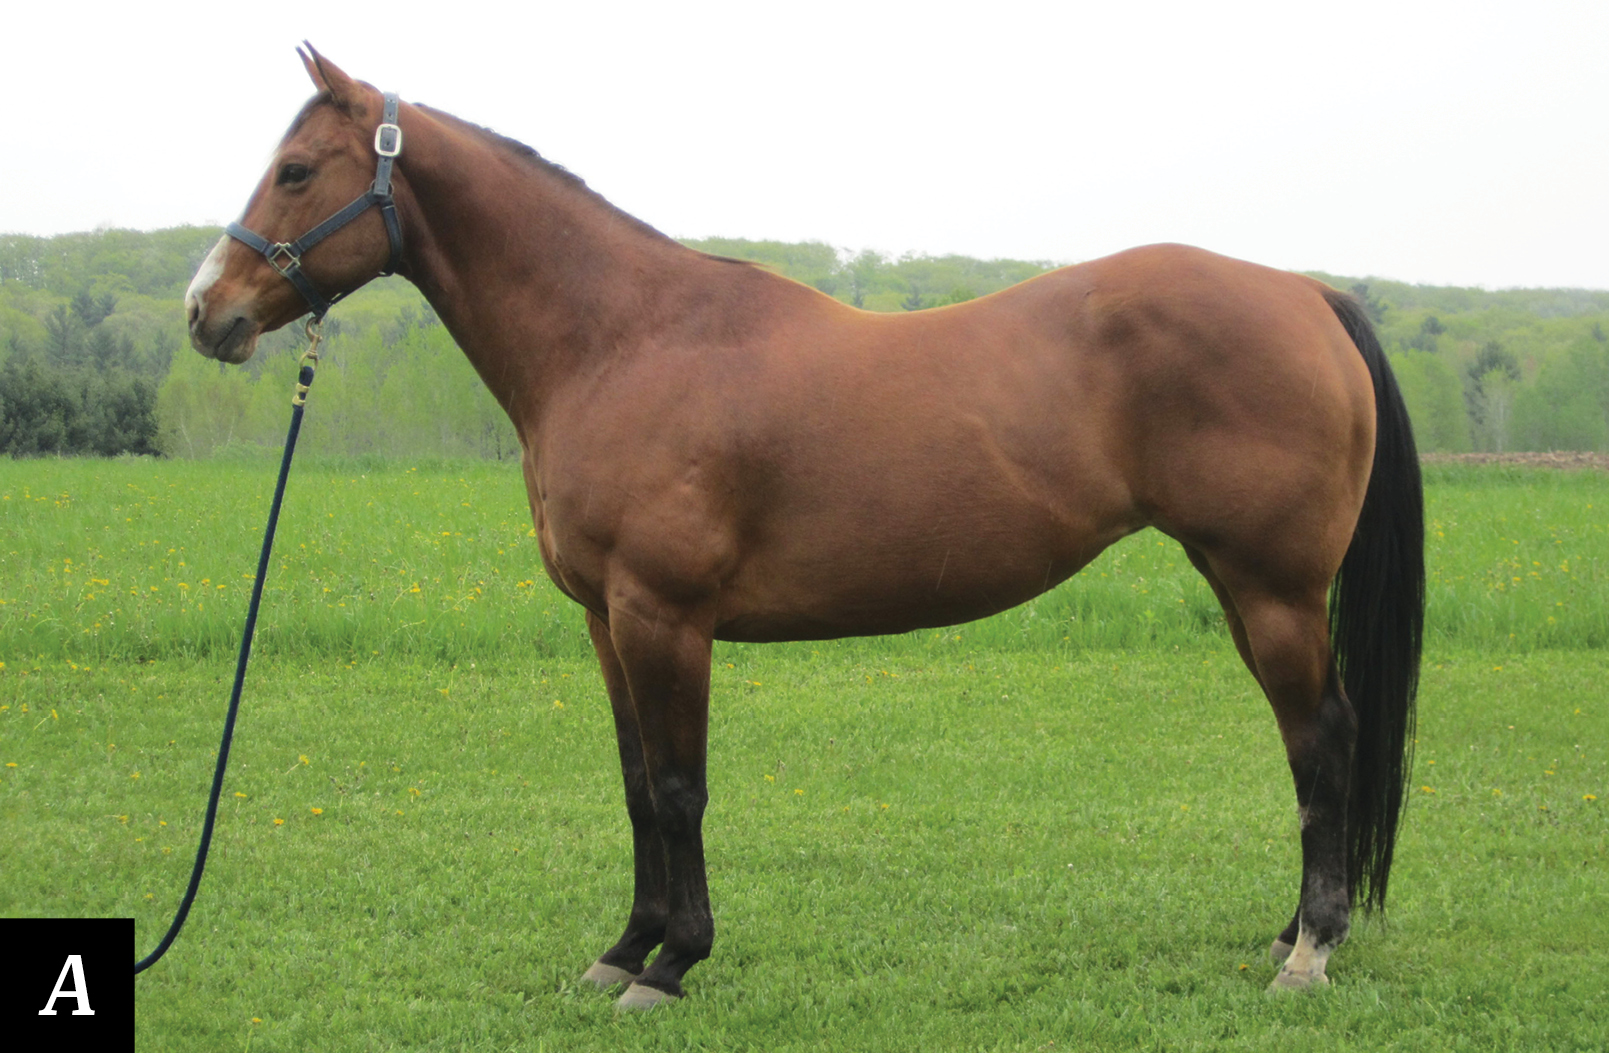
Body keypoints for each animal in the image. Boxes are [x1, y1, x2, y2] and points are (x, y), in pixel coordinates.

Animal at [185, 45, 1423, 1010]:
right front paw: (621, 948)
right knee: (1311, 746)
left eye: (296, 170)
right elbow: (634, 784)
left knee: (1322, 739)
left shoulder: (665, 615)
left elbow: (679, 787)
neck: (623, 339)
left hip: (1270, 589)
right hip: (1239, 582)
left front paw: (671, 963)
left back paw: (1307, 952)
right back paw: (1288, 931)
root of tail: (1306, 294)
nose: (208, 311)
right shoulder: (606, 622)